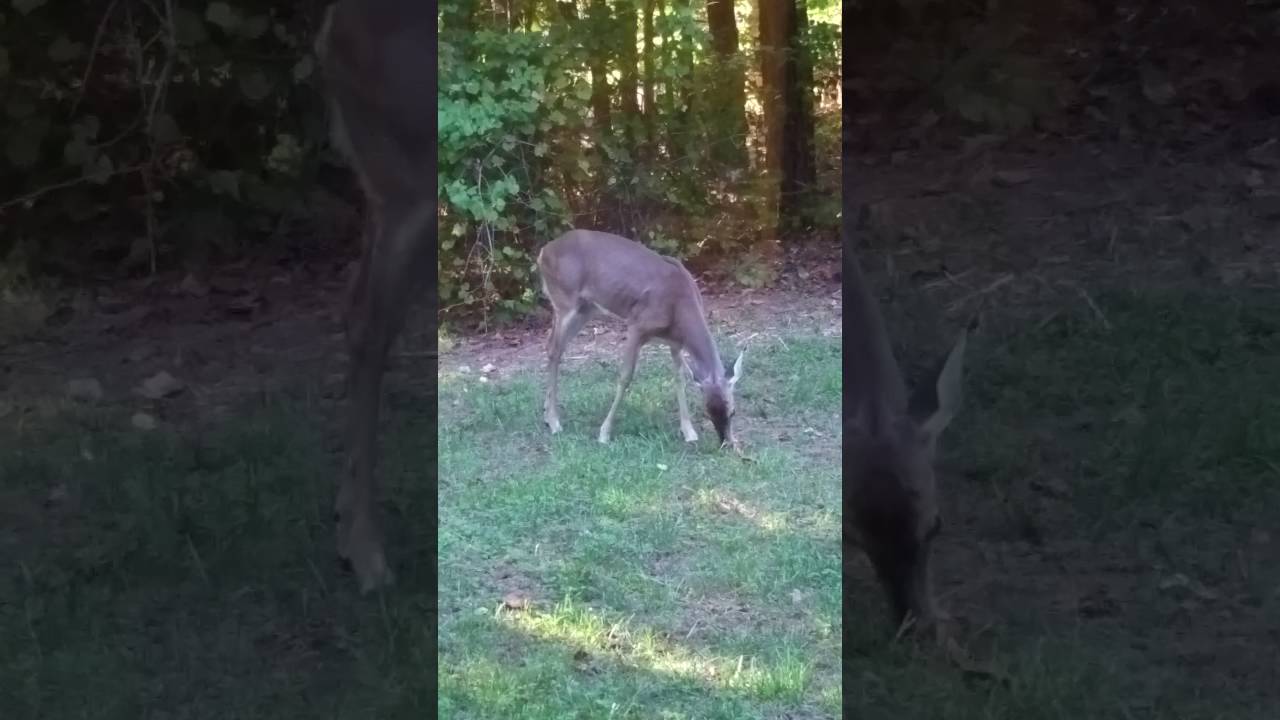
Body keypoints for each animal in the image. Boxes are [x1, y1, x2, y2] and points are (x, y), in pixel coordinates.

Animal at [537, 230, 745, 447]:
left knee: (554, 348)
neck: (679, 305)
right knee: (553, 349)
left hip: (586, 309)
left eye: (733, 411)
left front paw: (689, 431)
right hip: (565, 302)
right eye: (707, 412)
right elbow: (625, 377)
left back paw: (547, 415)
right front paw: (604, 433)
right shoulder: (637, 325)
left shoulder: (675, 342)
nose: (726, 443)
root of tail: (544, 251)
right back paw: (554, 422)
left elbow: (679, 377)